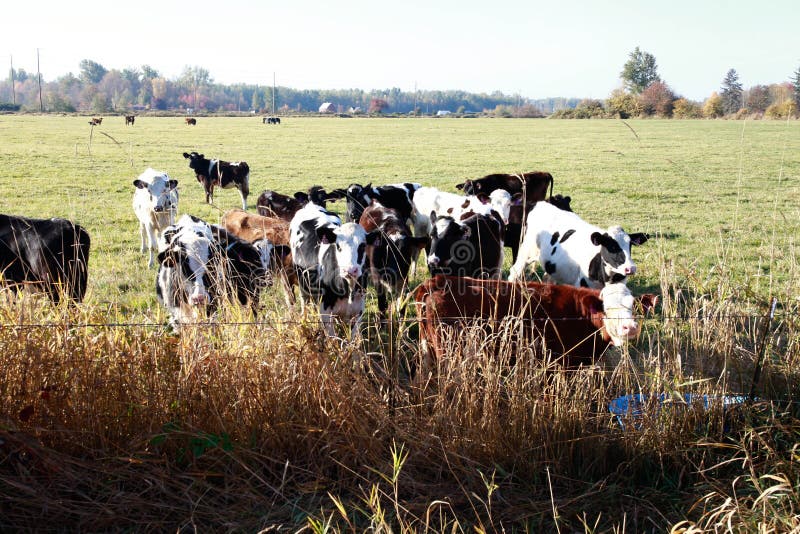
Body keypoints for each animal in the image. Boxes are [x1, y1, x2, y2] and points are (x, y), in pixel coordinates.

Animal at [289, 203, 379, 336]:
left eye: (362, 246)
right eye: (338, 246)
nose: (350, 270)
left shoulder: (358, 311)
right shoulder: (325, 312)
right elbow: (333, 338)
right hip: (302, 283)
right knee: (304, 302)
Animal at [507, 201, 648, 289]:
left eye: (630, 246)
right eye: (611, 246)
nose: (630, 268)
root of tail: (540, 204)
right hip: (526, 253)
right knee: (514, 272)